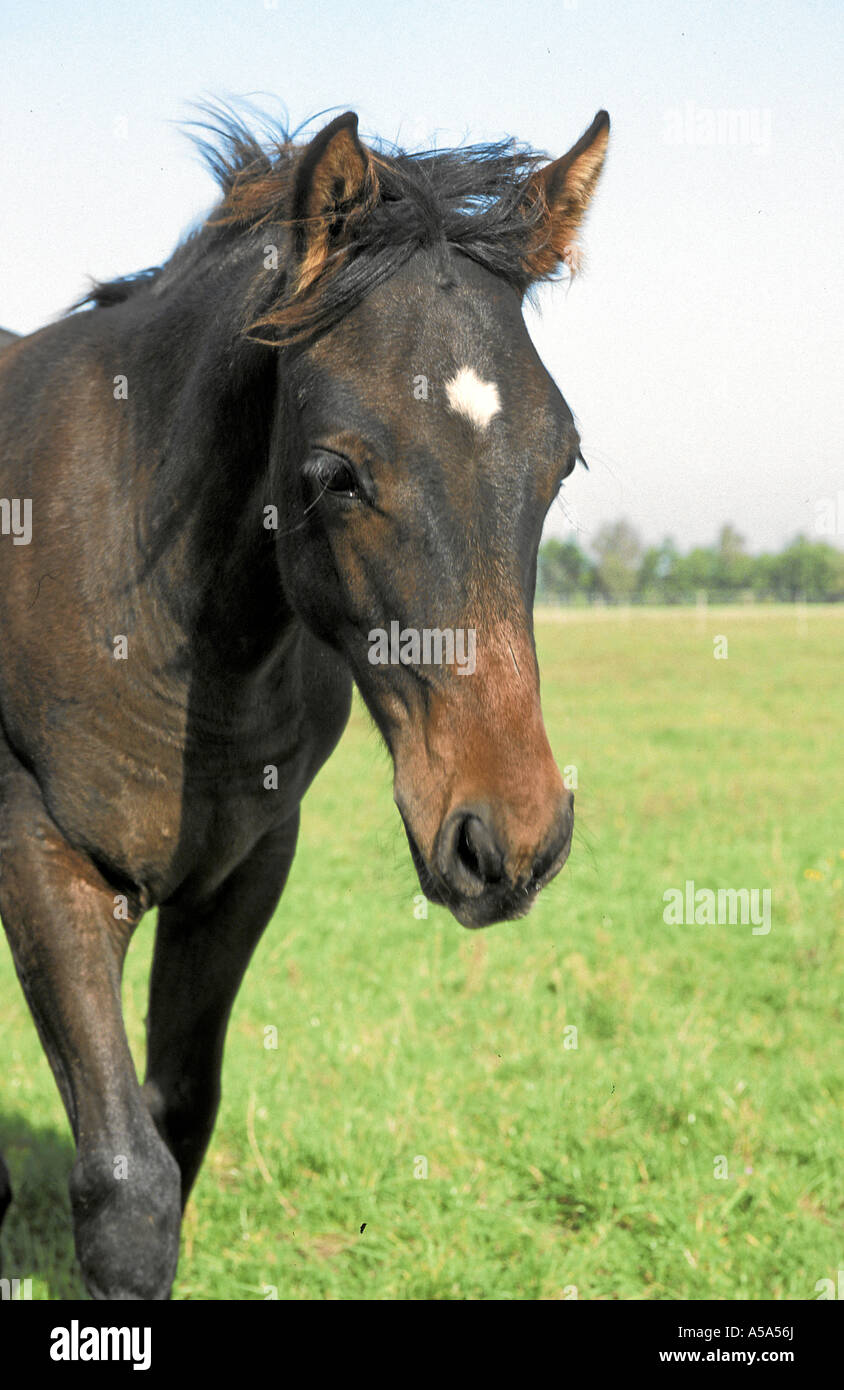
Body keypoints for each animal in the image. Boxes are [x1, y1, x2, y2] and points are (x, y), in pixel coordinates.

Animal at [0, 104, 610, 1299]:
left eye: (562, 461)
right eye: (334, 474)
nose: (510, 839)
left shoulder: (242, 869)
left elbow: (180, 1119)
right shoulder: (39, 849)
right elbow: (125, 1185)